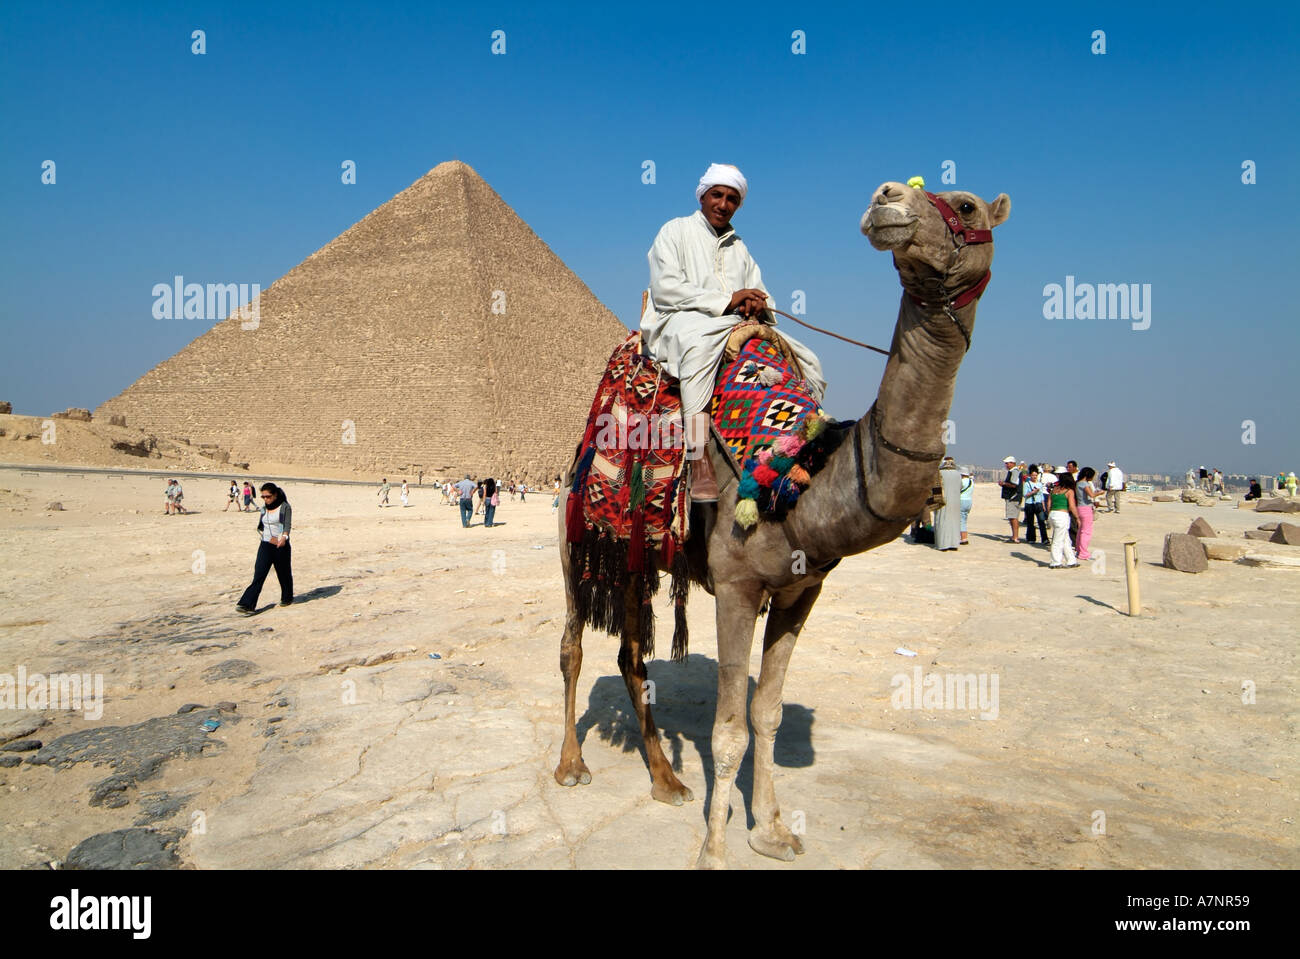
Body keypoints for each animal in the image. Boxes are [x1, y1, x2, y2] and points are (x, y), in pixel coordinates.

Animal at [554, 180, 1011, 867]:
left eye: (965, 207)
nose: (887, 198)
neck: (802, 477)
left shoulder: (801, 590)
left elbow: (765, 716)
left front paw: (770, 830)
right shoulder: (737, 586)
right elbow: (728, 730)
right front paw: (715, 853)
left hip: (636, 558)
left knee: (633, 656)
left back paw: (666, 781)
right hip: (575, 536)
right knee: (574, 645)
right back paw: (572, 766)